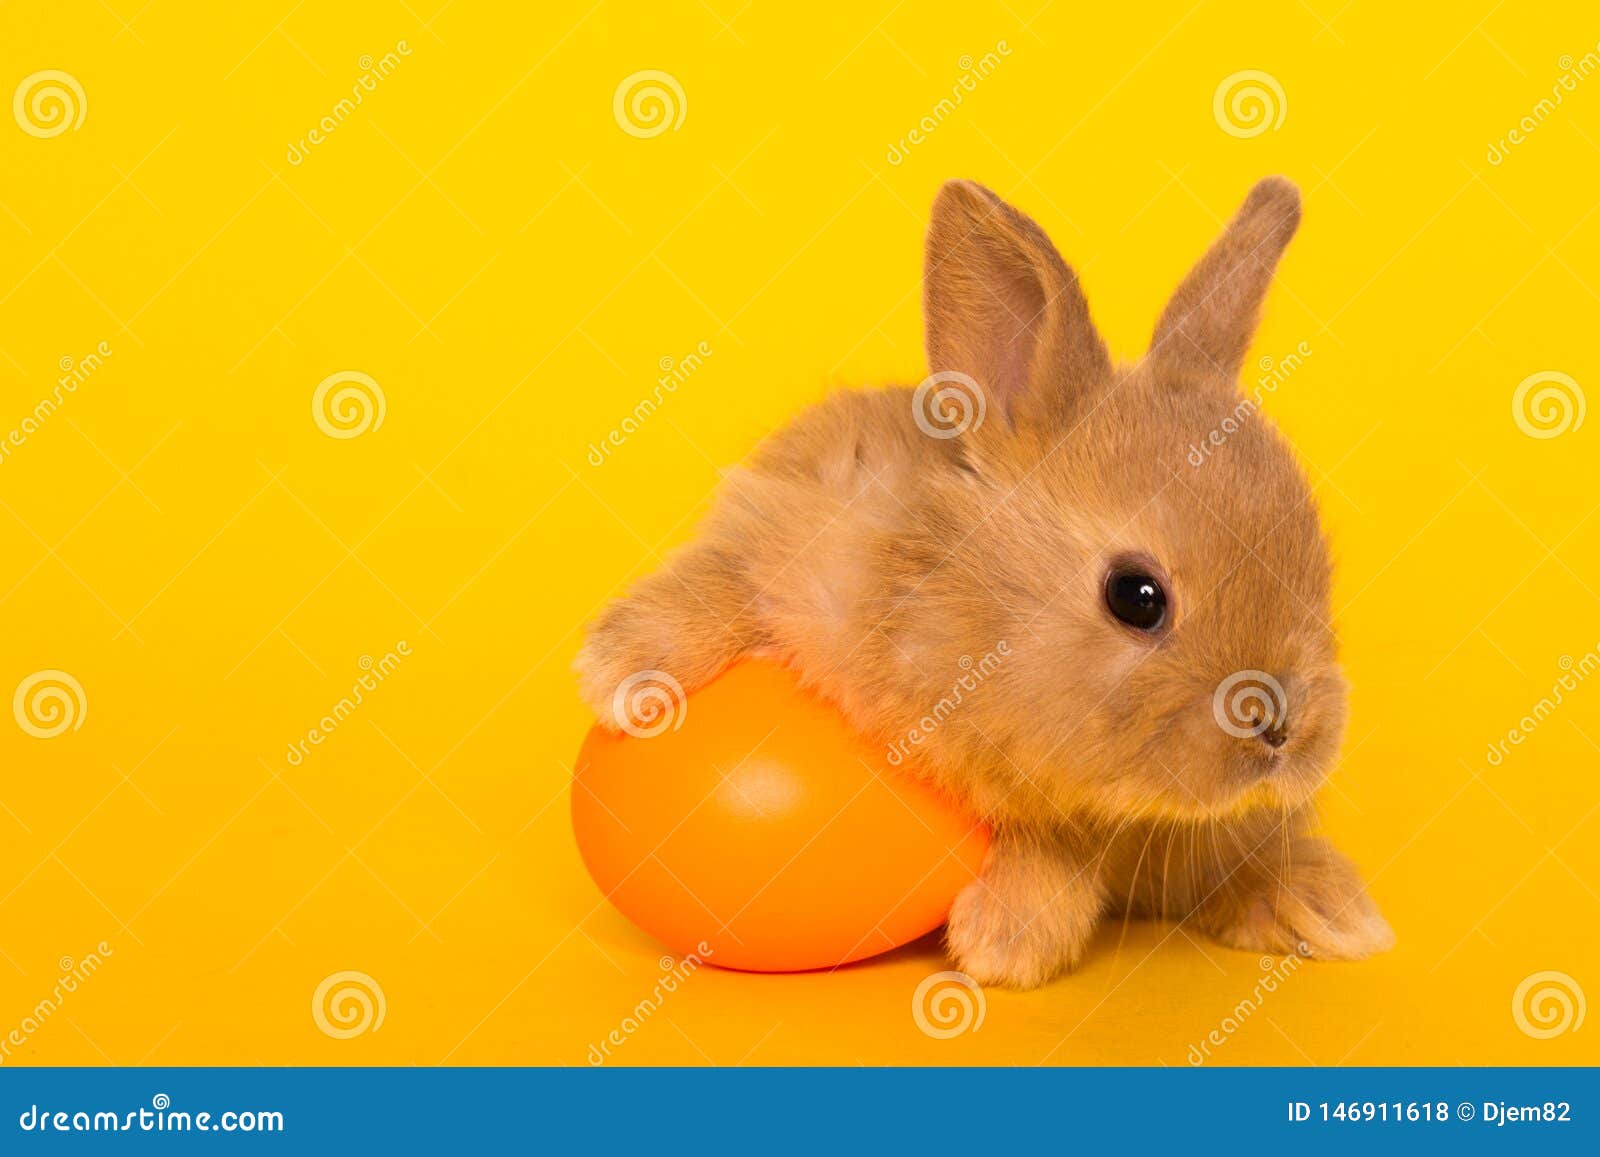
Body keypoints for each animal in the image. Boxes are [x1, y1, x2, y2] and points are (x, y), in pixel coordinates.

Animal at [575, 175, 1394, 989]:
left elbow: (1062, 857)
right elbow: (722, 580)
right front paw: (624, 672)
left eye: (1317, 571)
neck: (966, 623)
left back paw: (1329, 912)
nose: (1283, 726)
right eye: (1136, 597)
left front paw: (1000, 942)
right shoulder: (790, 527)